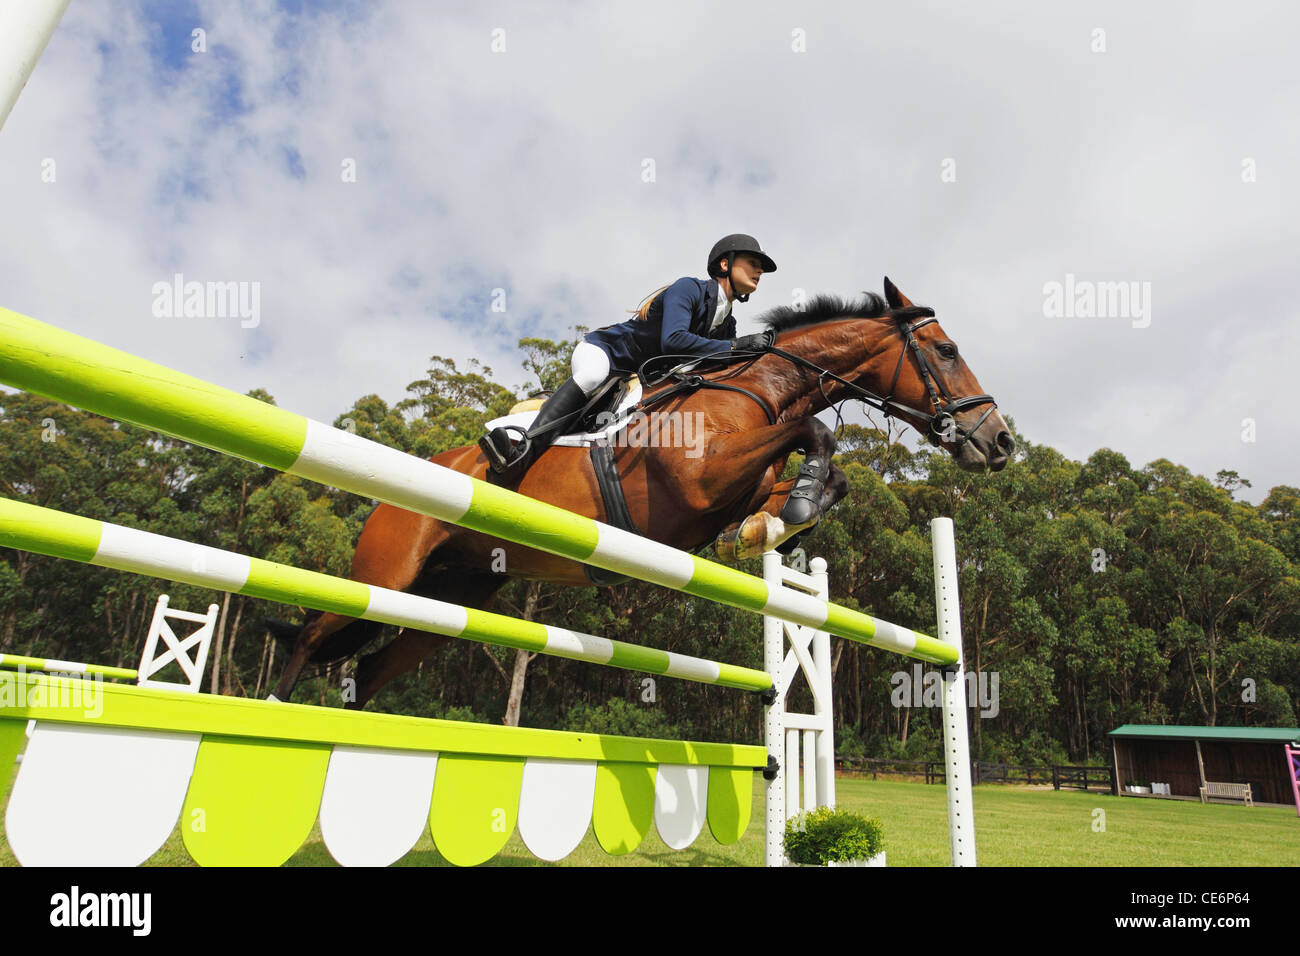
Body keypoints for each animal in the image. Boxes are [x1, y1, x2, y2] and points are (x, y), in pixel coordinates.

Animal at [271, 278, 1014, 707]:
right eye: (946, 351)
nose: (1000, 441)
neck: (760, 384)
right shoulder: (700, 478)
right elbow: (816, 430)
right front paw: (790, 511)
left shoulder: (729, 492)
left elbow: (823, 471)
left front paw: (775, 525)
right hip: (386, 571)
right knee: (310, 635)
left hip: (451, 596)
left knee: (368, 674)